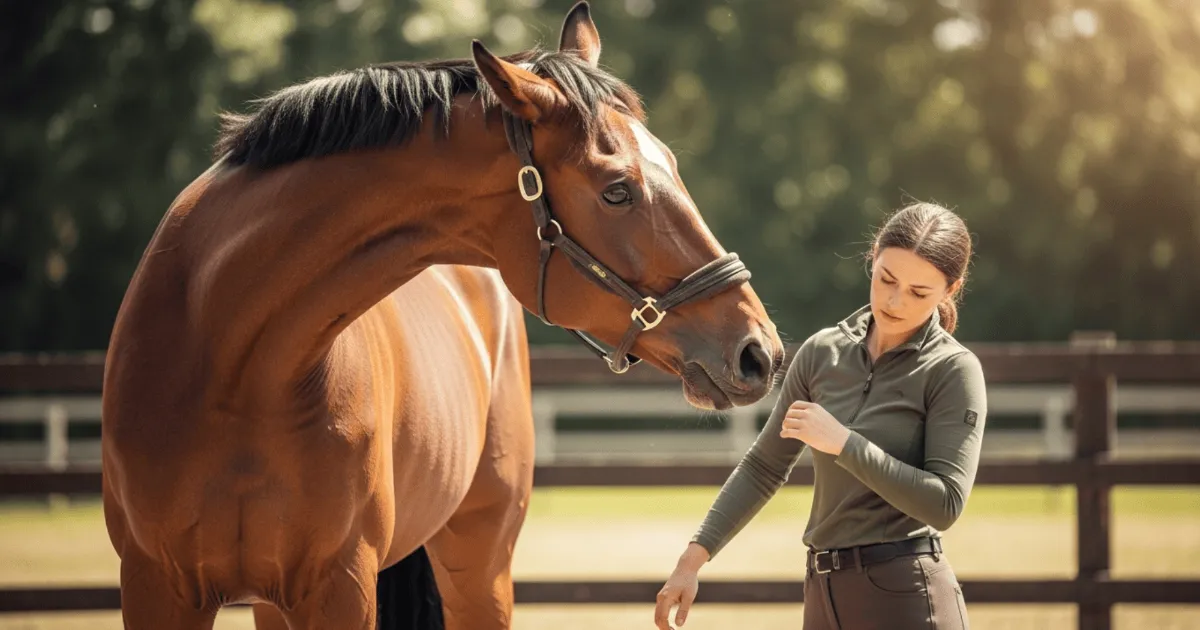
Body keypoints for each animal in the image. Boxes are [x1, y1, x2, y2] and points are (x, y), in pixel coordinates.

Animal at [100, 3, 785, 628]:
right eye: (617, 190)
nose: (760, 351)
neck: (230, 360)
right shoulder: (156, 586)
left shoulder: (339, 585)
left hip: (480, 568)